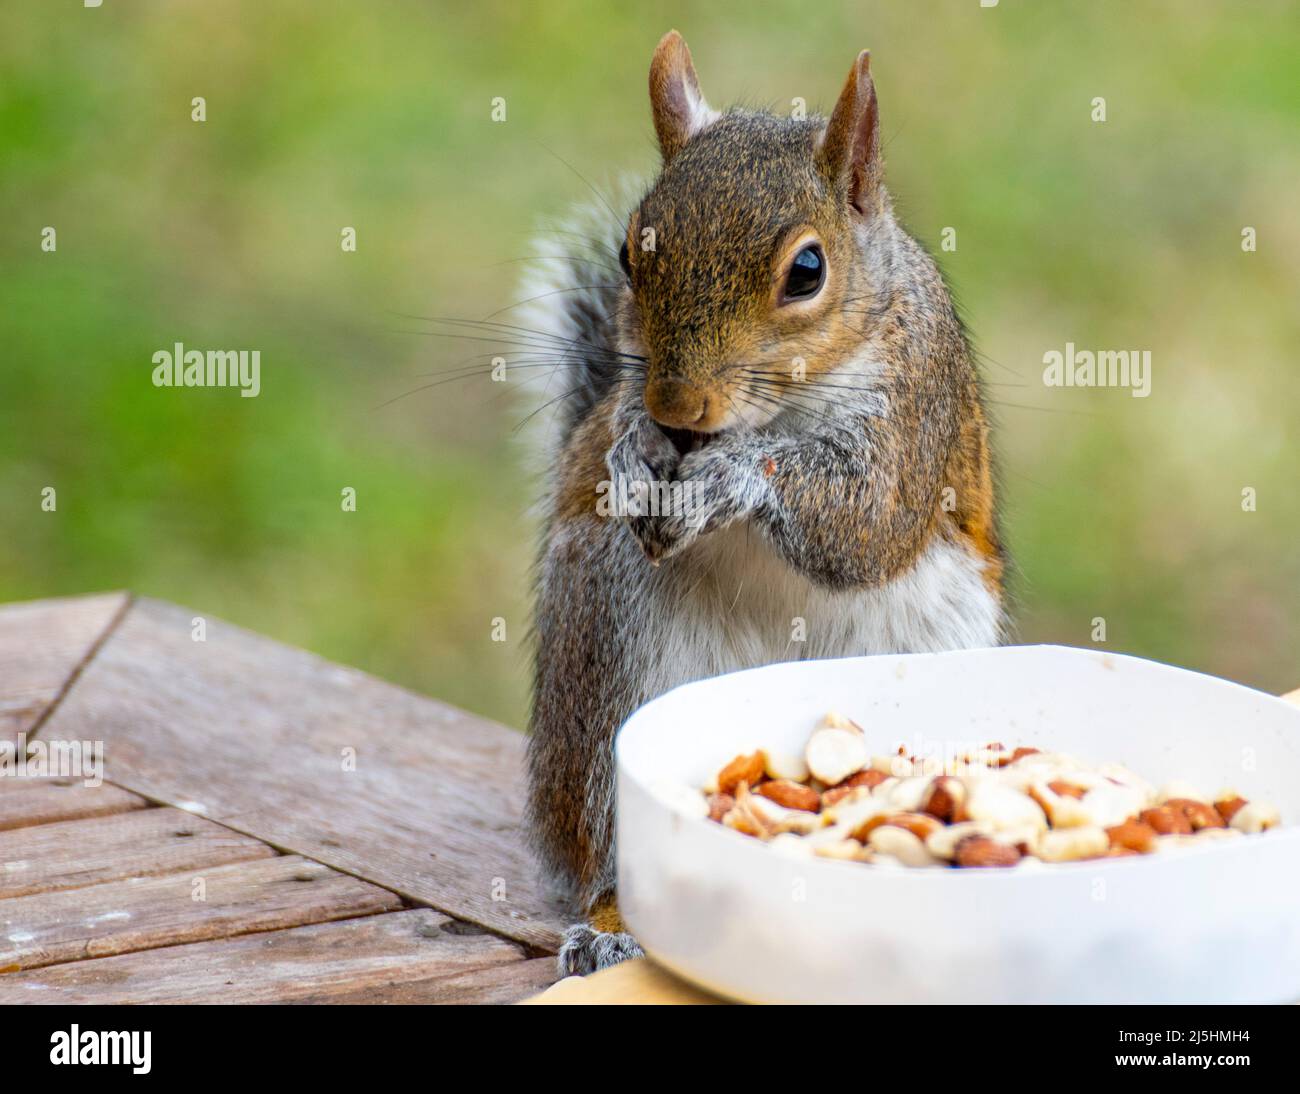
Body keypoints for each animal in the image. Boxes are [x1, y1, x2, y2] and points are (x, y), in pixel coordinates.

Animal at [524, 31, 1006, 976]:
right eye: (630, 255)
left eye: (807, 272)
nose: (676, 408)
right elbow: (612, 446)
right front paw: (631, 452)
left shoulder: (915, 410)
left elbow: (865, 523)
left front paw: (730, 474)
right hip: (604, 641)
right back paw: (613, 924)